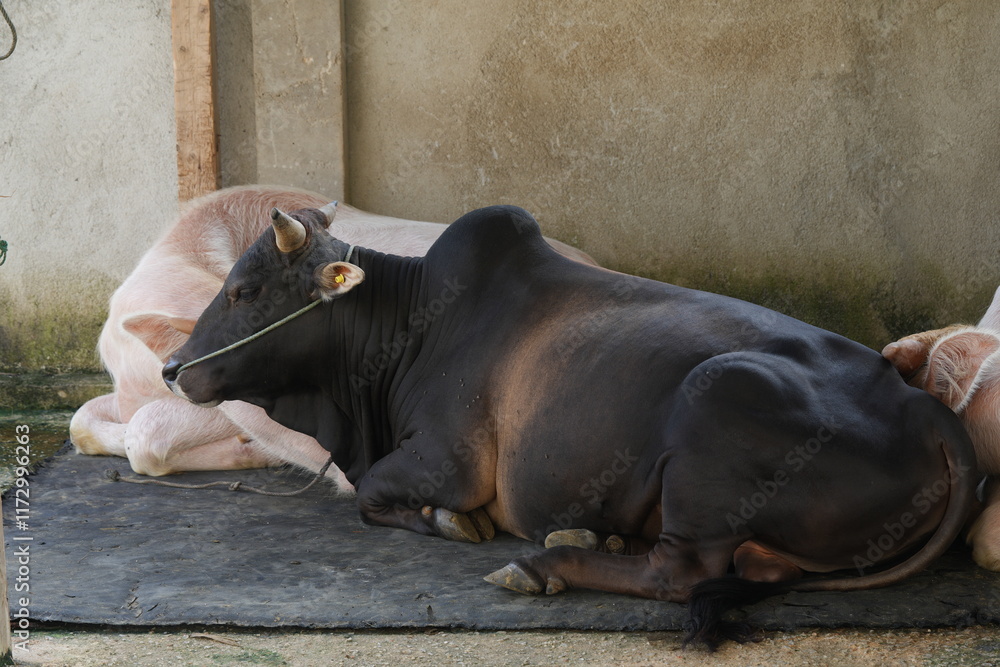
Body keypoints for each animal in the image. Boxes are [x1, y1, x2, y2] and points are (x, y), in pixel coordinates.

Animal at [163, 204, 975, 648]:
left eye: (244, 289)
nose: (172, 368)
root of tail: (925, 406)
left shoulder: (450, 460)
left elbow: (375, 497)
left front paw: (450, 523)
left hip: (715, 400)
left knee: (680, 573)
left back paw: (548, 563)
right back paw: (594, 535)